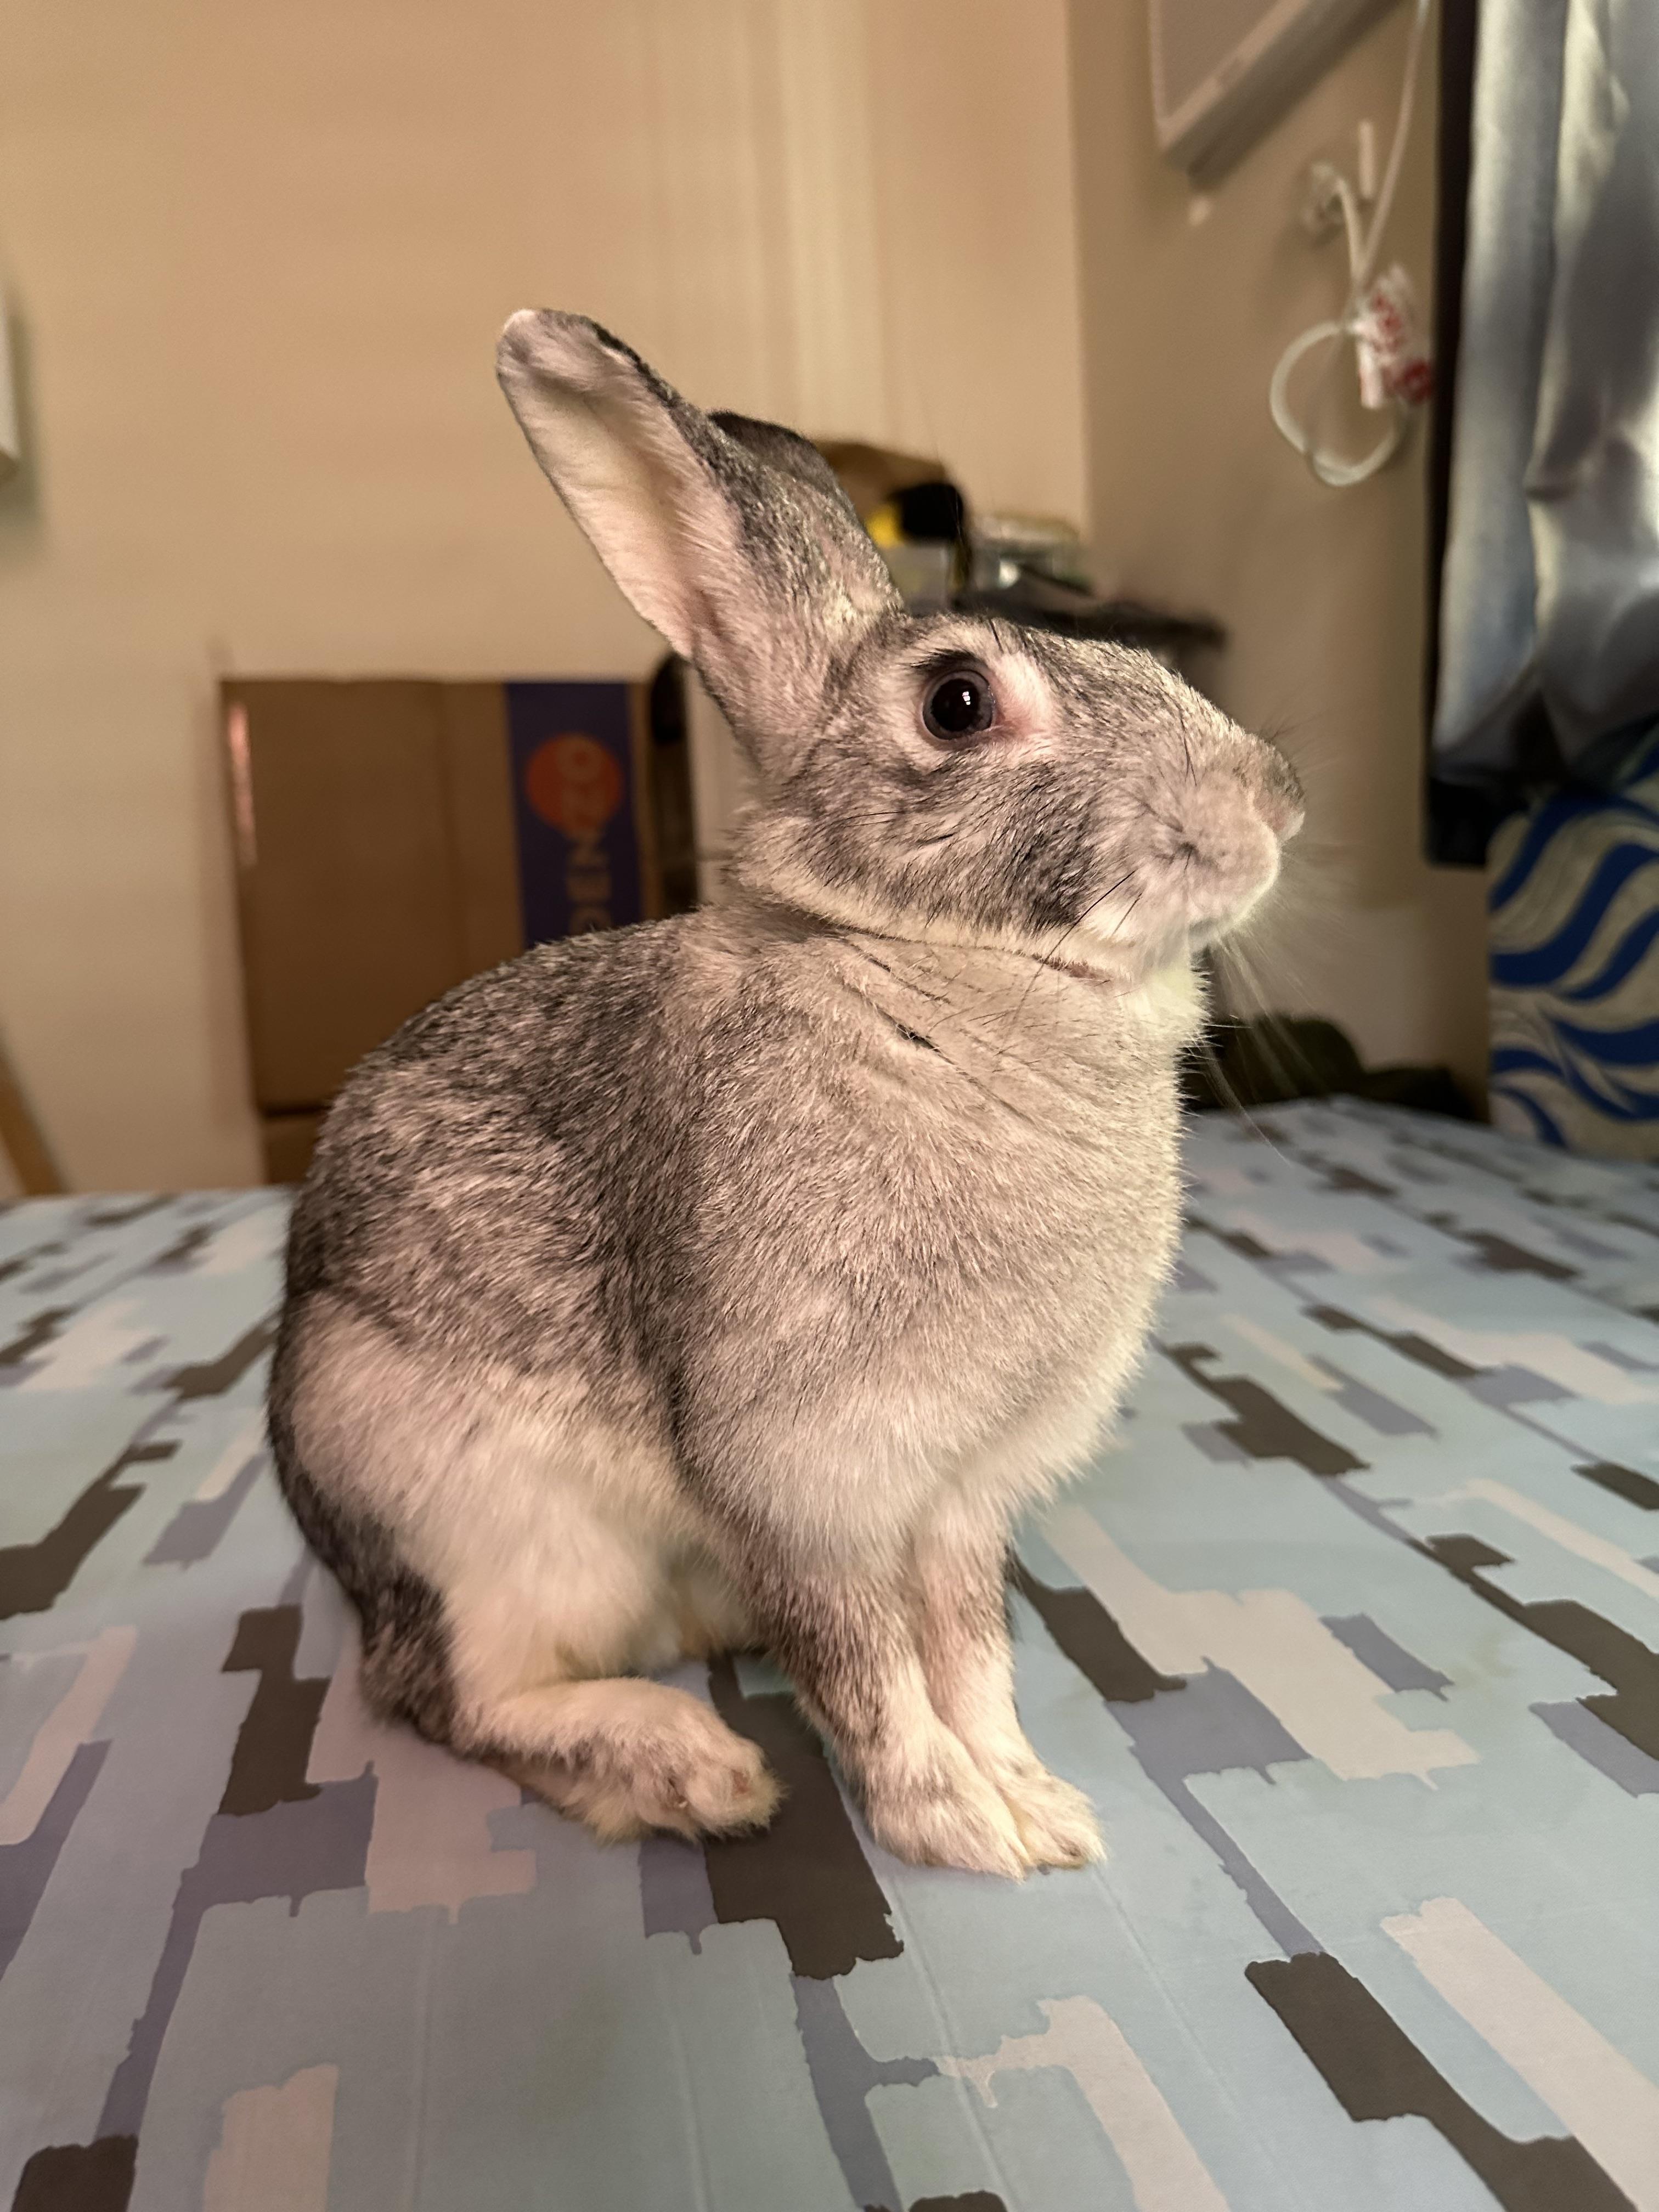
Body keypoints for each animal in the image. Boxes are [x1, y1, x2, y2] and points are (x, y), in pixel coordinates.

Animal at [267, 309, 1302, 1879]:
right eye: (956, 704)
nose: (1276, 797)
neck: (938, 988)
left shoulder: (957, 1499)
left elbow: (968, 1651)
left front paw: (1034, 1803)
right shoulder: (806, 1475)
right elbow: (869, 1664)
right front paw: (952, 1822)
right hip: (486, 1528)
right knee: (451, 1699)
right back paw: (688, 1770)